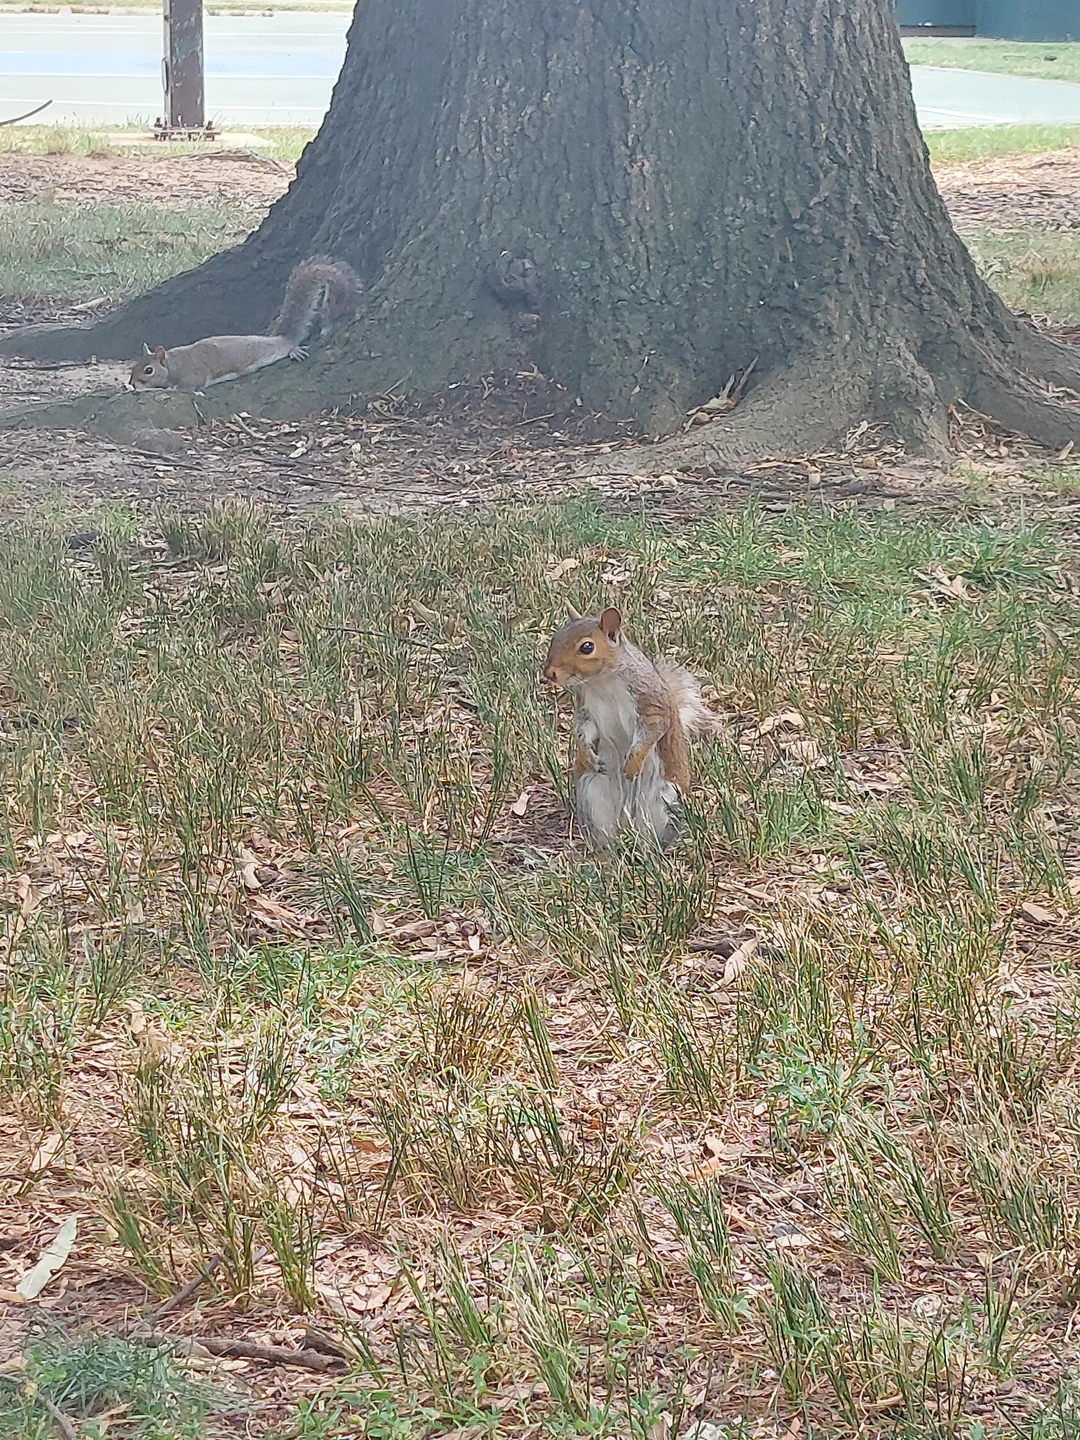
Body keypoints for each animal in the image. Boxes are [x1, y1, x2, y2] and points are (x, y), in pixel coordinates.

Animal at [129, 255, 360, 392]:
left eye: (148, 370)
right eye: (134, 365)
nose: (131, 384)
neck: (173, 364)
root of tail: (279, 337)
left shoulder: (192, 375)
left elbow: (191, 387)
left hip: (268, 352)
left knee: (284, 347)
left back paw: (293, 349)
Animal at [542, 607, 716, 849]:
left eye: (587, 647)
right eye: (555, 637)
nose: (549, 673)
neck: (602, 681)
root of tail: (626, 819)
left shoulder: (651, 704)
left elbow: (651, 731)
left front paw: (632, 764)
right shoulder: (586, 709)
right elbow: (583, 729)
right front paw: (587, 755)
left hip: (663, 802)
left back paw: (649, 848)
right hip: (592, 796)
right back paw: (607, 852)